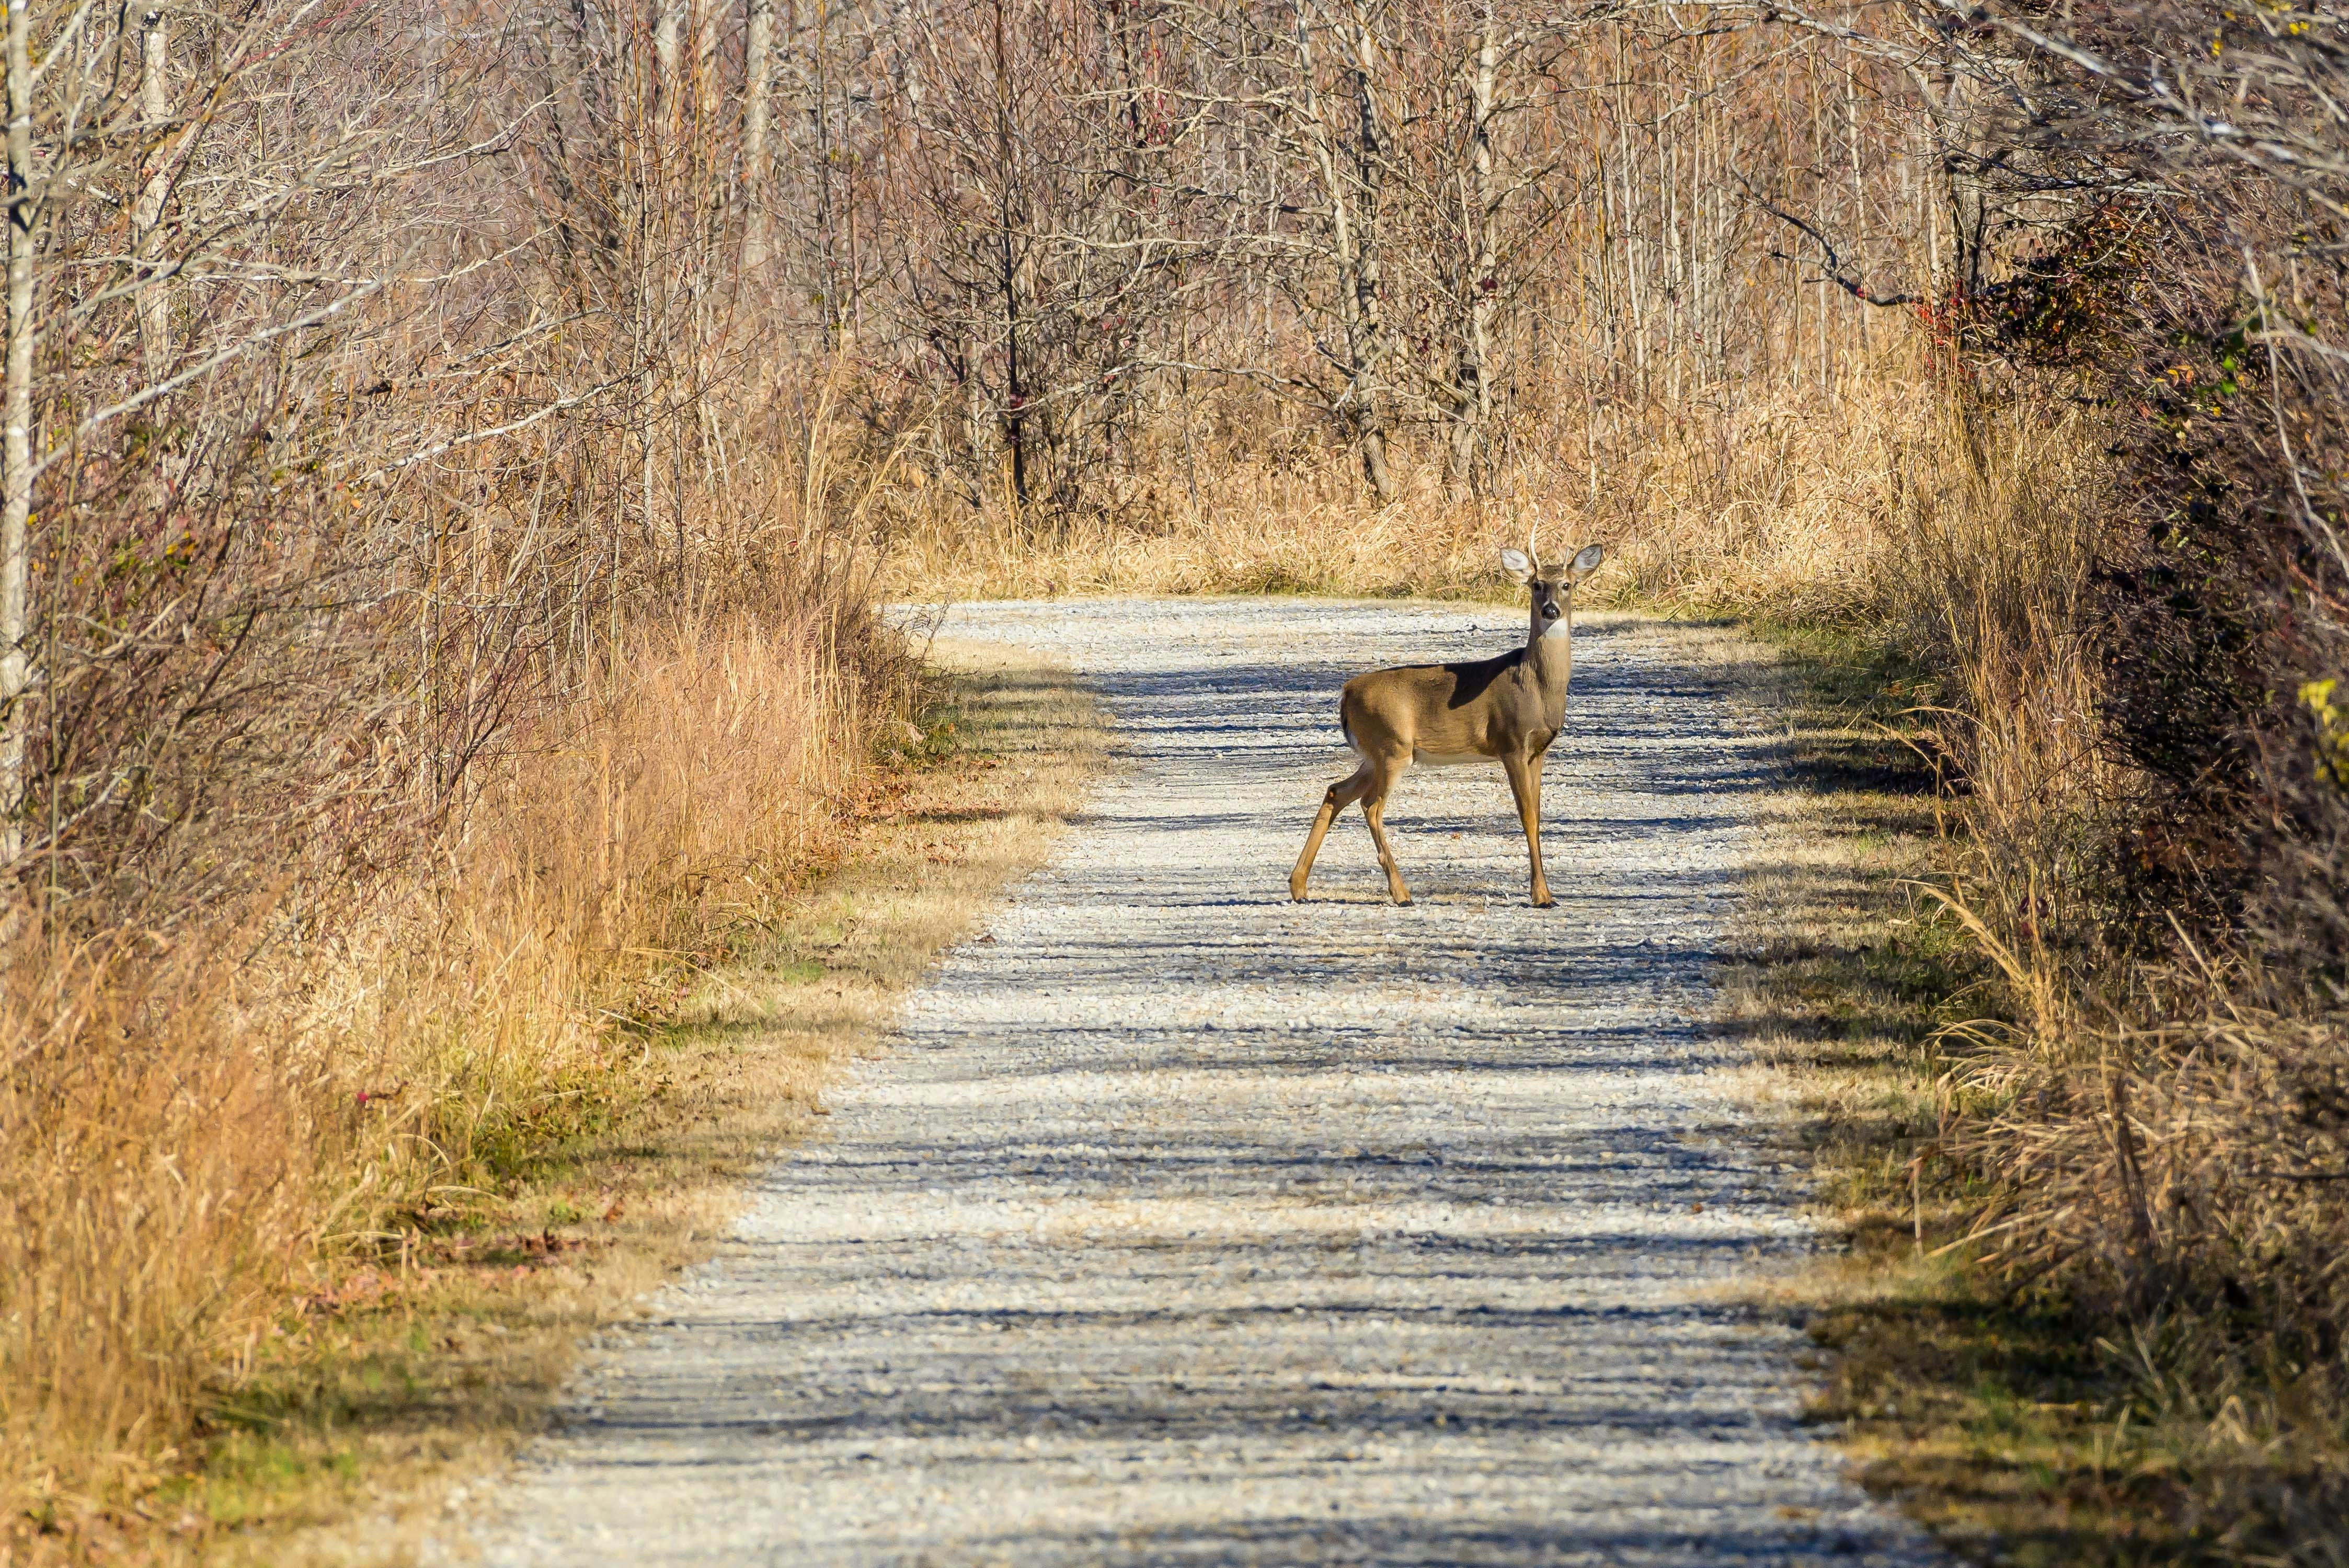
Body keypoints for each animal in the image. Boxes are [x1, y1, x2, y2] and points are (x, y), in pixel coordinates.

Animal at [1289, 539, 1606, 908]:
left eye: (1567, 585)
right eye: (1536, 584)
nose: (1551, 611)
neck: (1536, 686)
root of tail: (1347, 692)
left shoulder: (1538, 751)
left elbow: (1538, 816)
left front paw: (1544, 893)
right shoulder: (1511, 743)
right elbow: (1526, 816)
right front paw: (1542, 897)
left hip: (1374, 754)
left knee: (1335, 792)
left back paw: (1299, 887)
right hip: (1392, 747)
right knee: (1371, 805)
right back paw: (1401, 893)